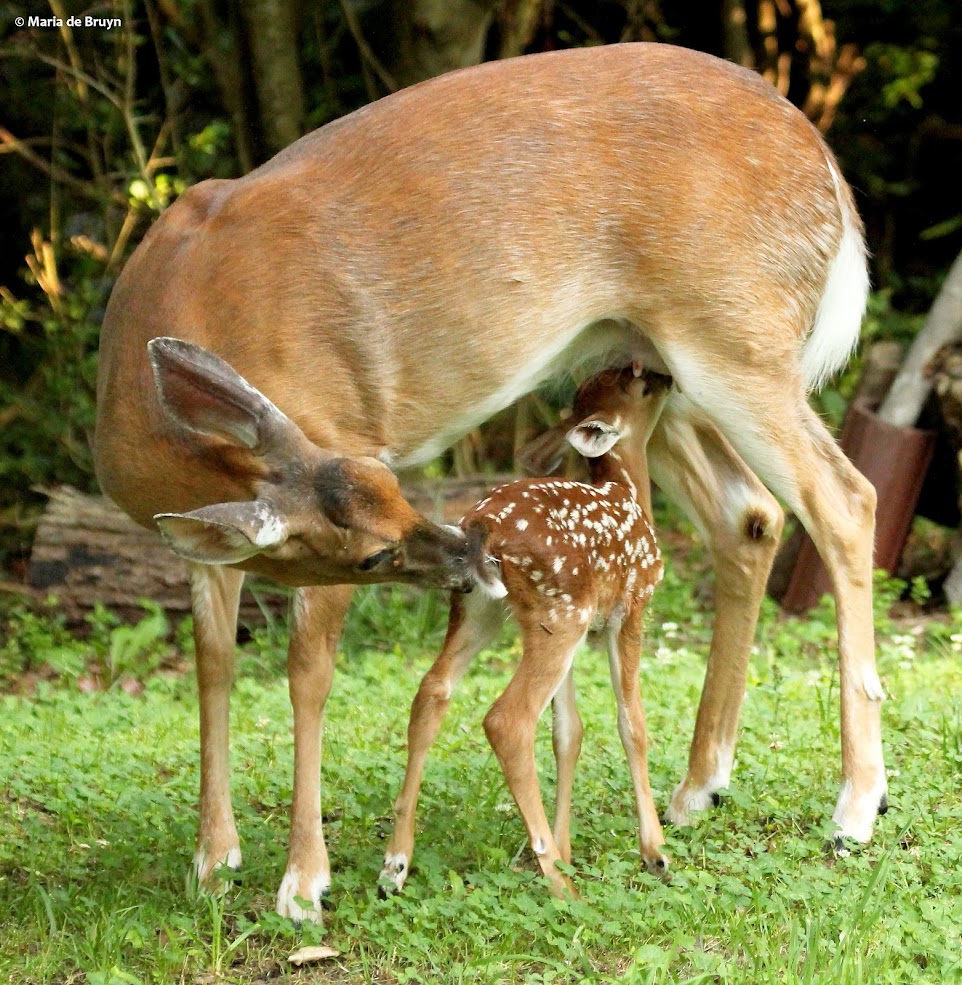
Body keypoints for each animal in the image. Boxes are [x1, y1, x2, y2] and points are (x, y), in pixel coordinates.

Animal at [379, 365, 672, 898]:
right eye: (635, 381)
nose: (668, 377)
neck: (629, 495)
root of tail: (483, 525)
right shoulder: (631, 605)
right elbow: (632, 722)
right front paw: (654, 852)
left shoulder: (583, 626)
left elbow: (568, 731)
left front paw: (568, 849)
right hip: (558, 612)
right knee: (508, 719)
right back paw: (559, 884)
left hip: (485, 609)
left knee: (432, 688)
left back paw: (396, 864)